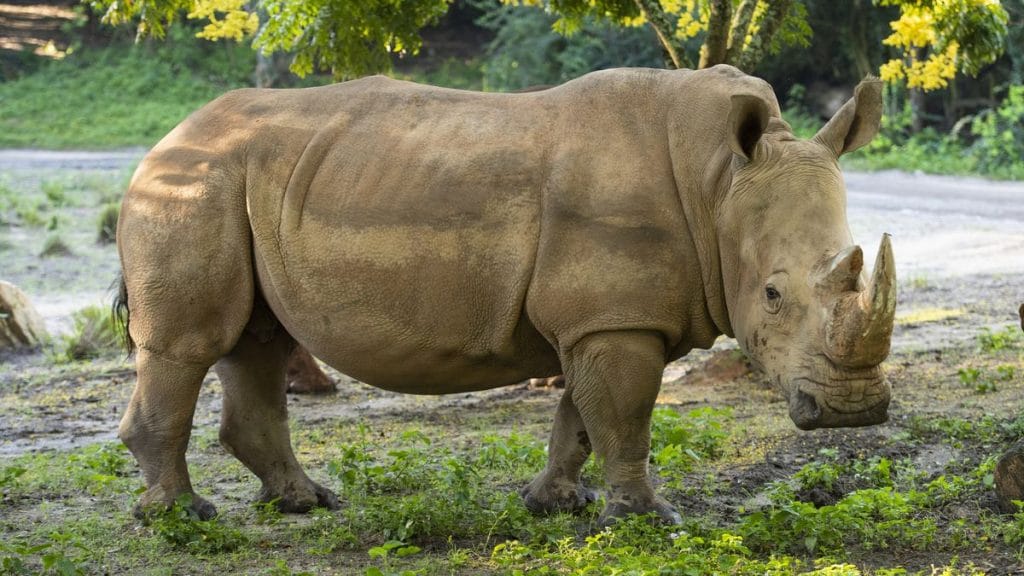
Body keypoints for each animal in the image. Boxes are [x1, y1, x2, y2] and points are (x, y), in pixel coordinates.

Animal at [115, 65, 895, 525]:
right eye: (772, 294)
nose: (853, 412)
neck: (719, 187)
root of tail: (164, 140)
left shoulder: (600, 318)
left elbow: (581, 417)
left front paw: (557, 504)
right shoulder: (616, 319)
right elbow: (626, 417)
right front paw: (647, 518)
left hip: (242, 182)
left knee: (257, 341)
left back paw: (305, 503)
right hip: (194, 184)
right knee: (190, 345)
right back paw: (183, 518)